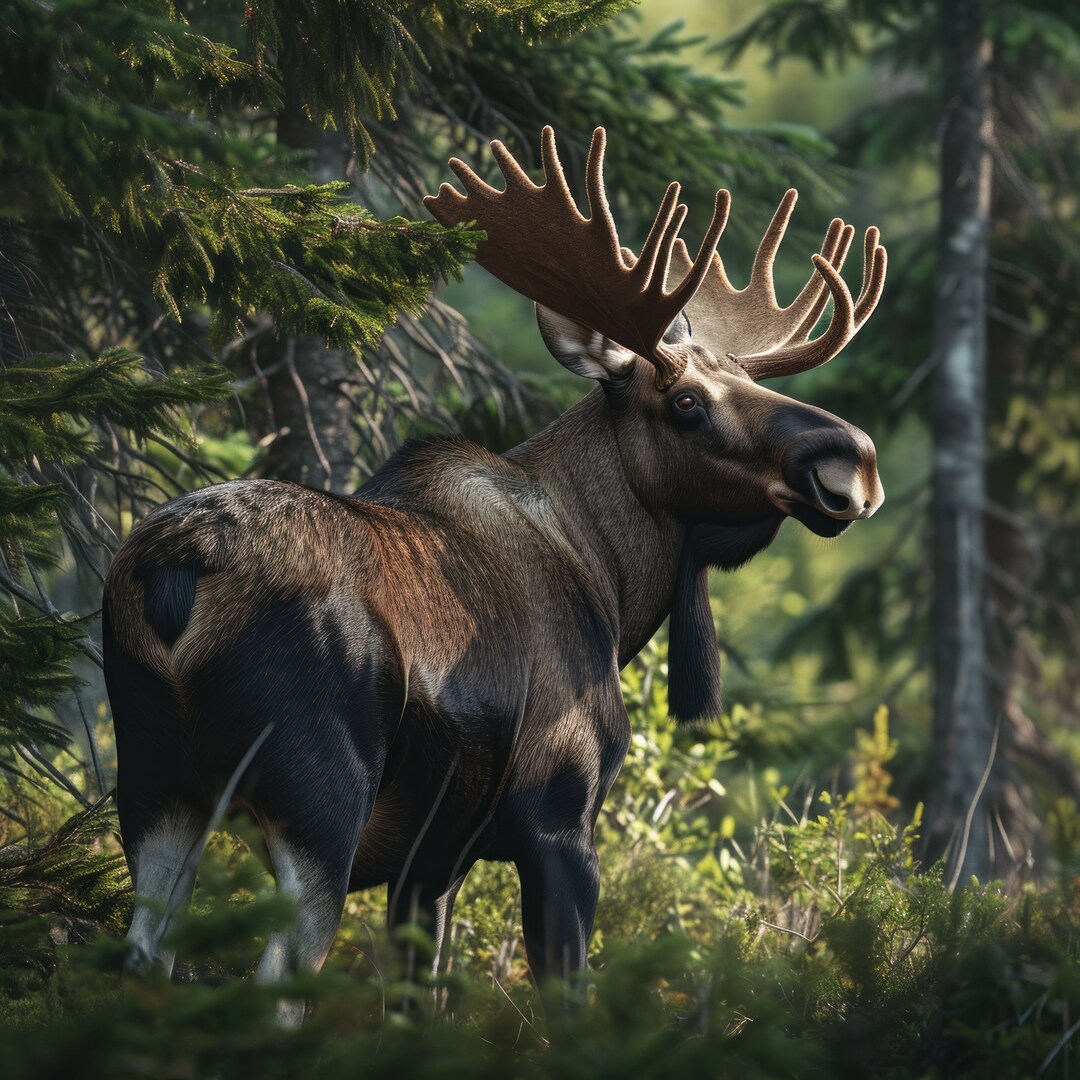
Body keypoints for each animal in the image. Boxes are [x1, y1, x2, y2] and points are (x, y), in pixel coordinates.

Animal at [103, 126, 886, 1022]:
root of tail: (173, 579)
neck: (612, 585)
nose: (851, 461)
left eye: (750, 378)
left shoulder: (431, 863)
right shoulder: (557, 818)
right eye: (686, 401)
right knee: (278, 985)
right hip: (318, 799)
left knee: (141, 962)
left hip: (153, 788)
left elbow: (416, 1005)